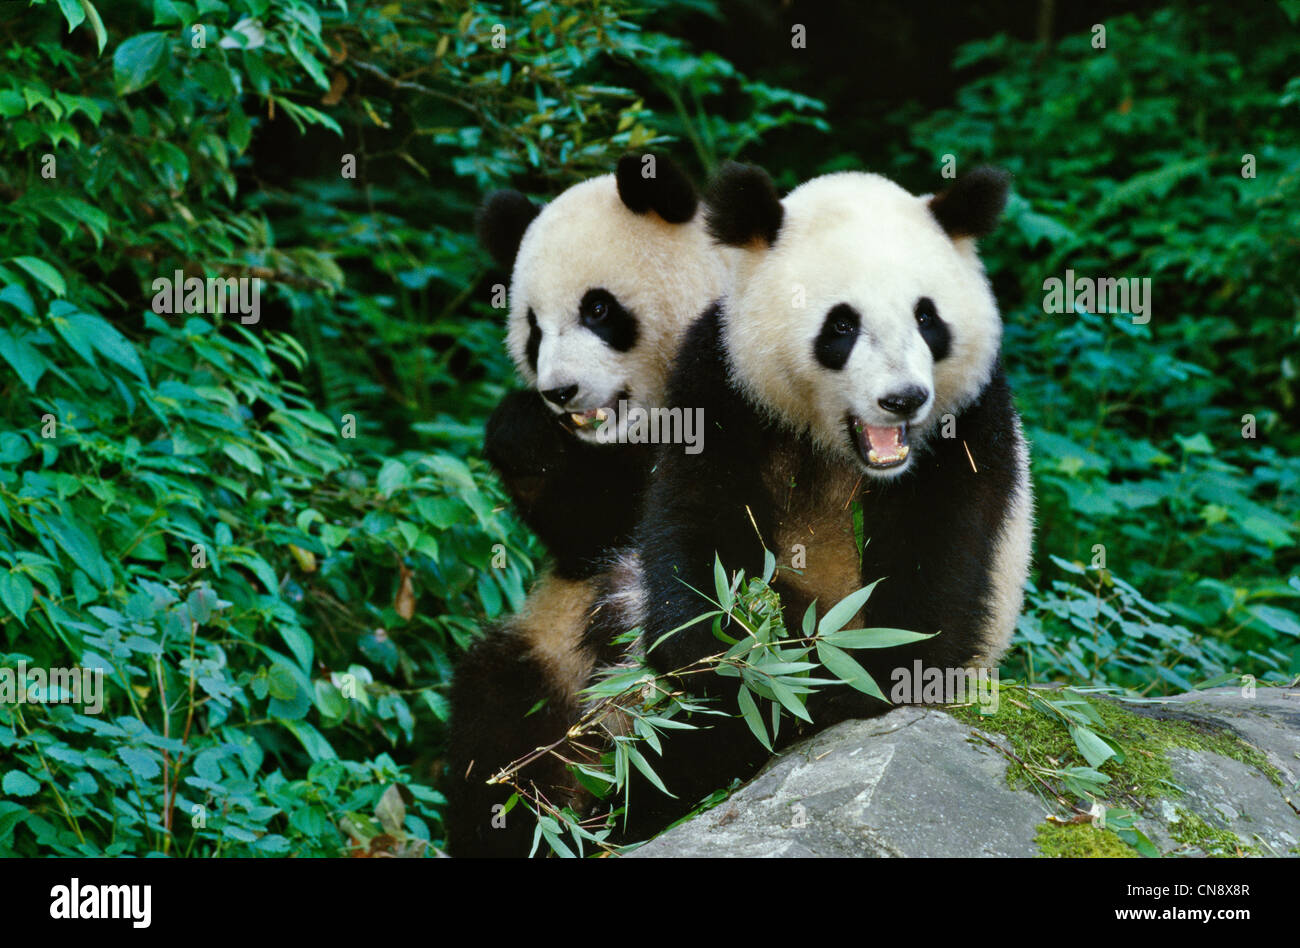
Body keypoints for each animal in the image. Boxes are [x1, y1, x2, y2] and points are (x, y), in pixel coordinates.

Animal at [444, 153, 733, 857]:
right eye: (533, 328)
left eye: (599, 309)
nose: (561, 390)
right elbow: (586, 530)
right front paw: (523, 433)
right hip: (544, 652)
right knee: (493, 714)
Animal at [583, 163, 1035, 837]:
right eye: (842, 325)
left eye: (927, 318)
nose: (903, 399)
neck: (836, 444)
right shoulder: (722, 384)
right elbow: (697, 540)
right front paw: (744, 657)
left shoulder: (969, 423)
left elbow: (939, 564)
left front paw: (861, 678)